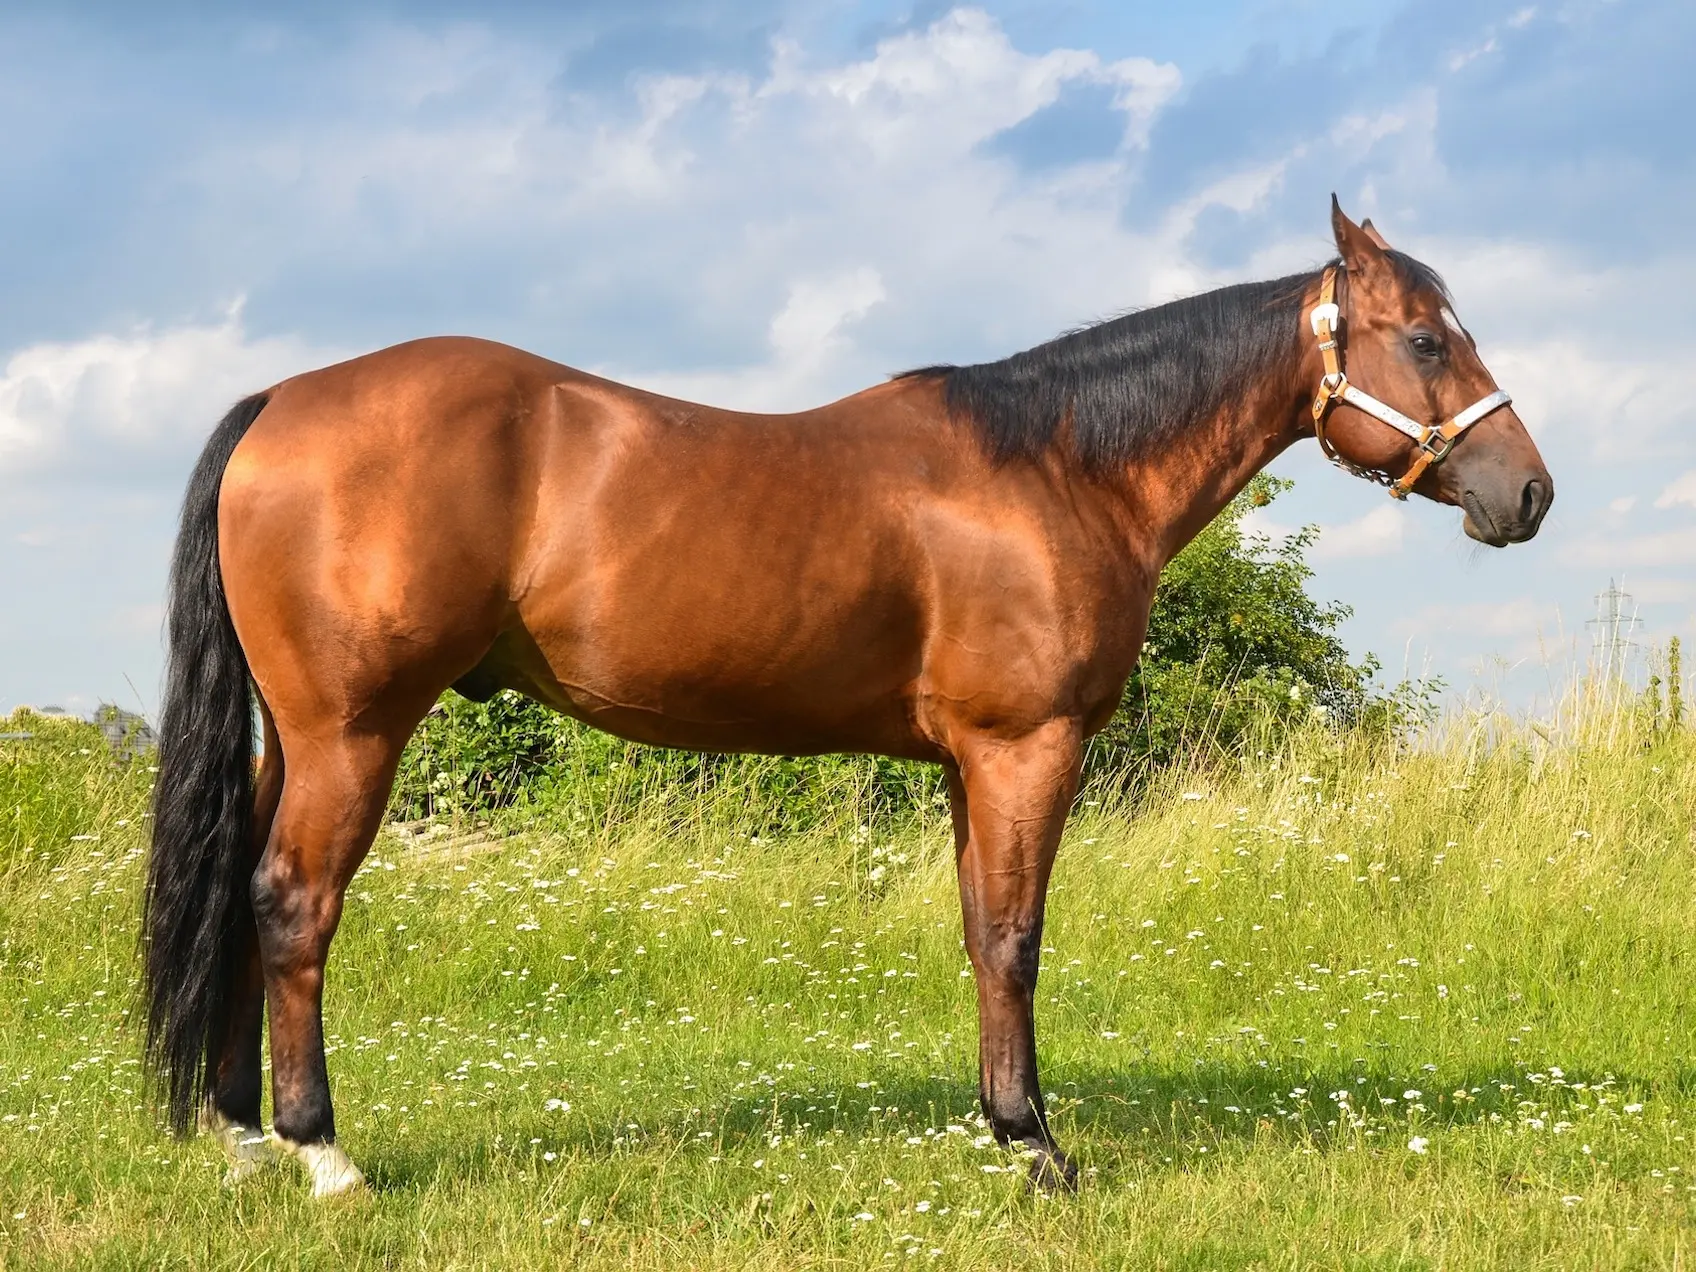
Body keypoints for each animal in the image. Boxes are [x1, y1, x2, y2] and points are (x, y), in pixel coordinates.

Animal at [141, 199, 1552, 1196]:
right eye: (1425, 339)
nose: (1528, 492)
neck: (1058, 468)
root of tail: (283, 401)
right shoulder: (1025, 750)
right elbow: (1015, 940)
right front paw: (1040, 1153)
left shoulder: (966, 765)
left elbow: (978, 932)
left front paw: (1002, 1130)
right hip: (353, 731)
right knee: (293, 903)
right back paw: (323, 1152)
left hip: (293, 740)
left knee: (240, 895)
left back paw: (243, 1137)